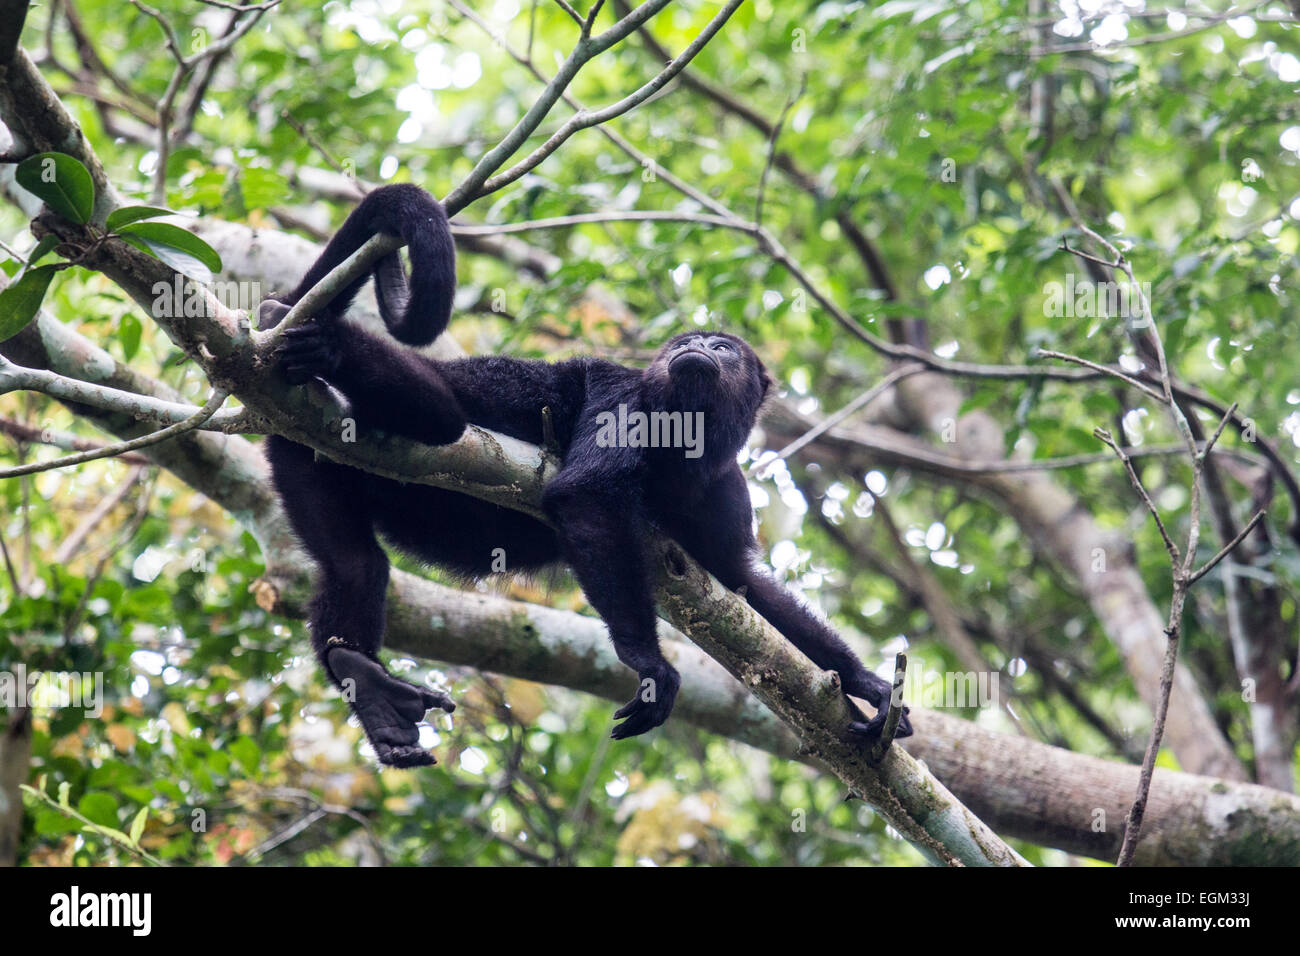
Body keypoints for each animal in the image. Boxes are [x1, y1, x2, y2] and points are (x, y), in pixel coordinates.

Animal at [258, 183, 911, 767]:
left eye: (723, 348)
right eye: (687, 340)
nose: (695, 346)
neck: (688, 440)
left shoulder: (728, 490)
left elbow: (746, 588)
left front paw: (868, 684)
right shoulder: (623, 398)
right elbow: (585, 496)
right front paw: (649, 666)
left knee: (355, 565)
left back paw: (361, 679)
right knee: (439, 421)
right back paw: (315, 337)